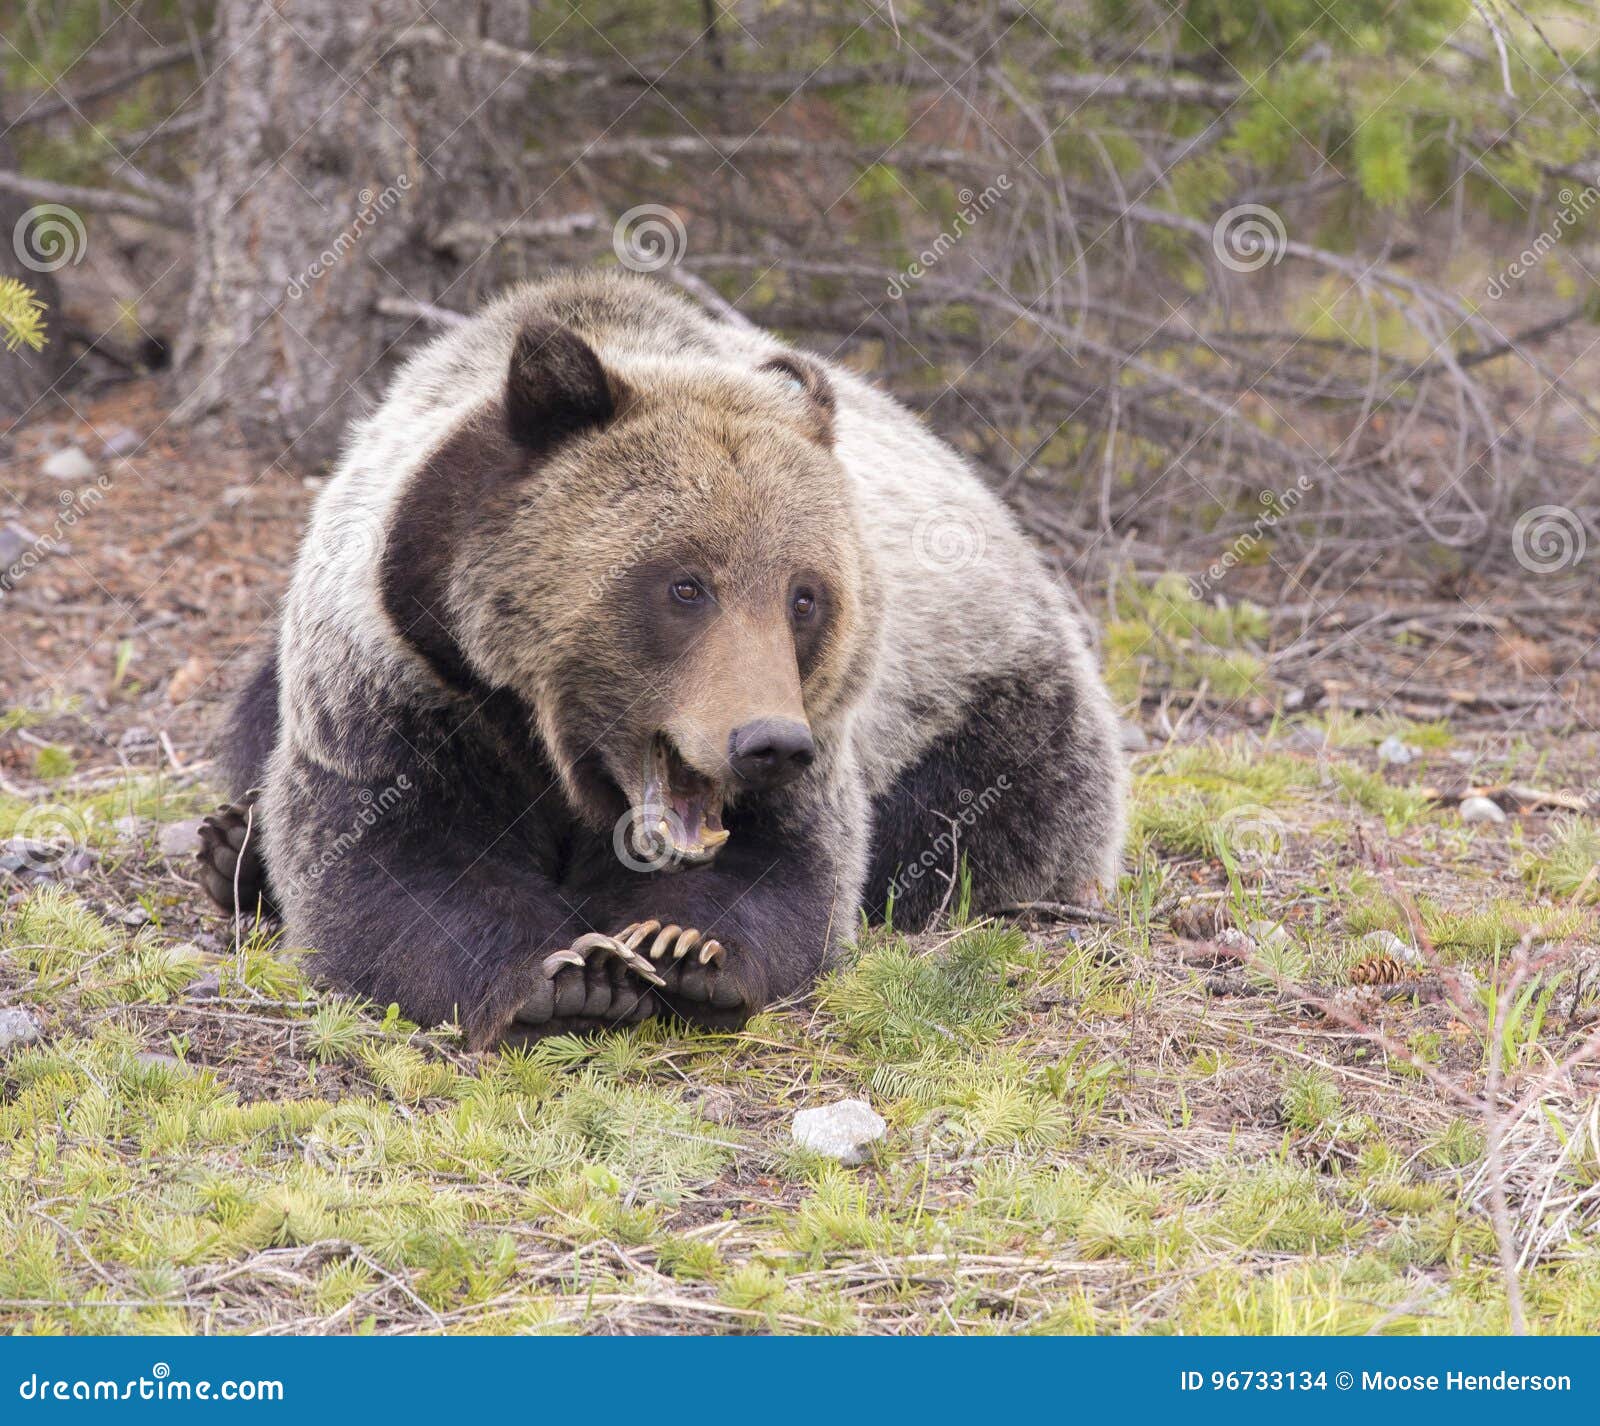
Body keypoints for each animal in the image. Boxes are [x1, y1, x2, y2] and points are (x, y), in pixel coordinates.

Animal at [196, 269, 1126, 1048]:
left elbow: (786, 869)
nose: (767, 743)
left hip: (987, 696)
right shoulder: (401, 686)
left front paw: (682, 946)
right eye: (685, 586)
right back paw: (234, 849)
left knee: (965, 824)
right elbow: (396, 859)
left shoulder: (825, 736)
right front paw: (568, 972)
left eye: (804, 595)